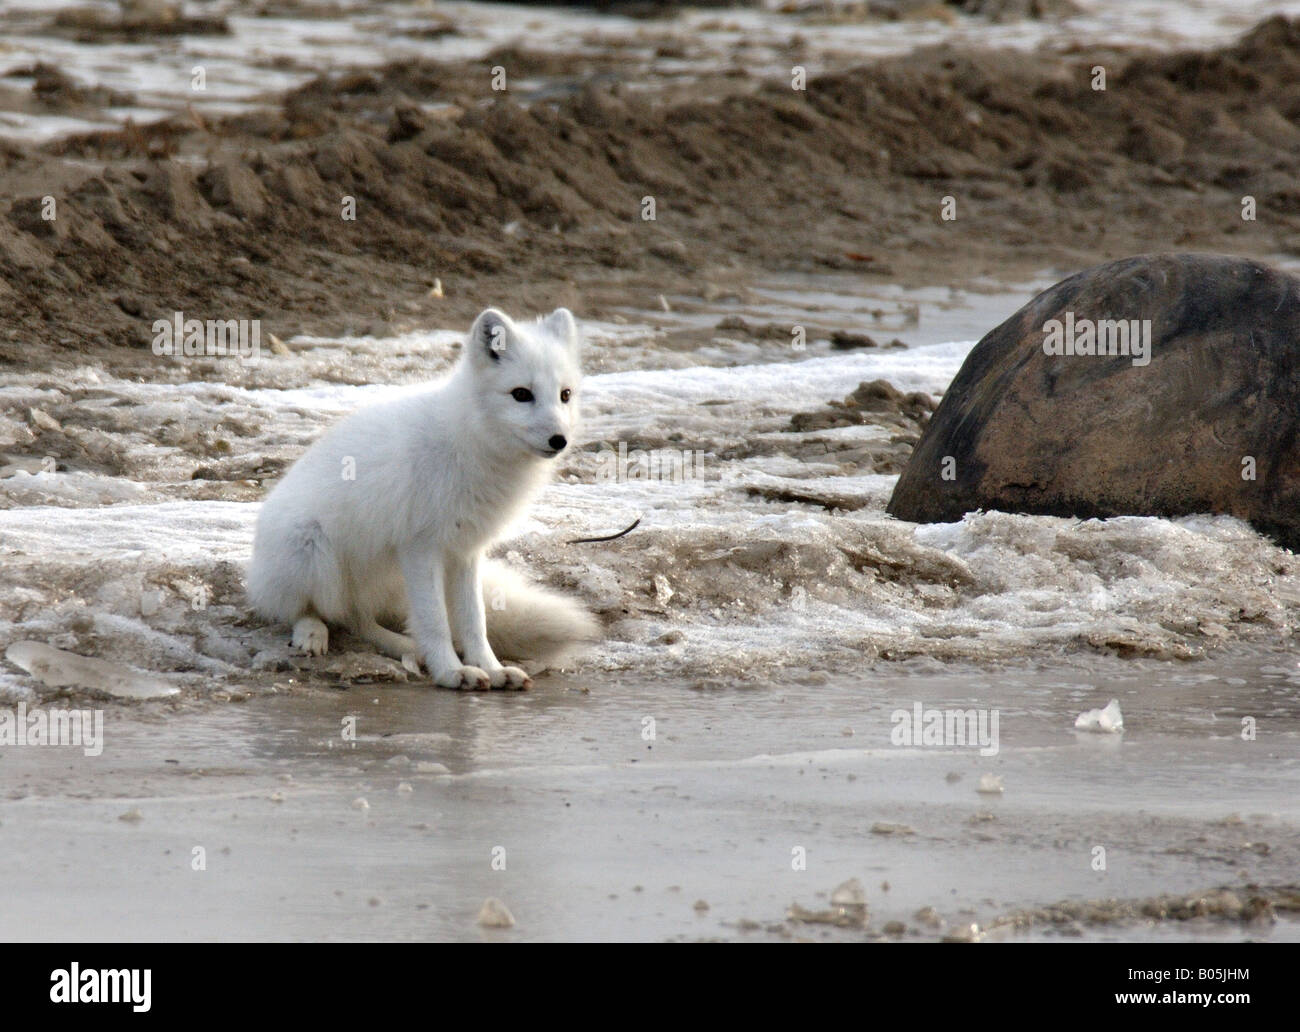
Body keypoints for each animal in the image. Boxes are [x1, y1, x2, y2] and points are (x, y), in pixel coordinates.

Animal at [246, 307, 599, 690]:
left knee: (356, 617)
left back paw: (403, 645)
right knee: (307, 610)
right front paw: (451, 672)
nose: (559, 440)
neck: (470, 442)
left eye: (565, 395)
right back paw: (312, 633)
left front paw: (490, 668)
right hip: (311, 549)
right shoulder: (421, 546)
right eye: (521, 394)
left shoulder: (465, 551)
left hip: (382, 577)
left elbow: (474, 620)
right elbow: (436, 621)